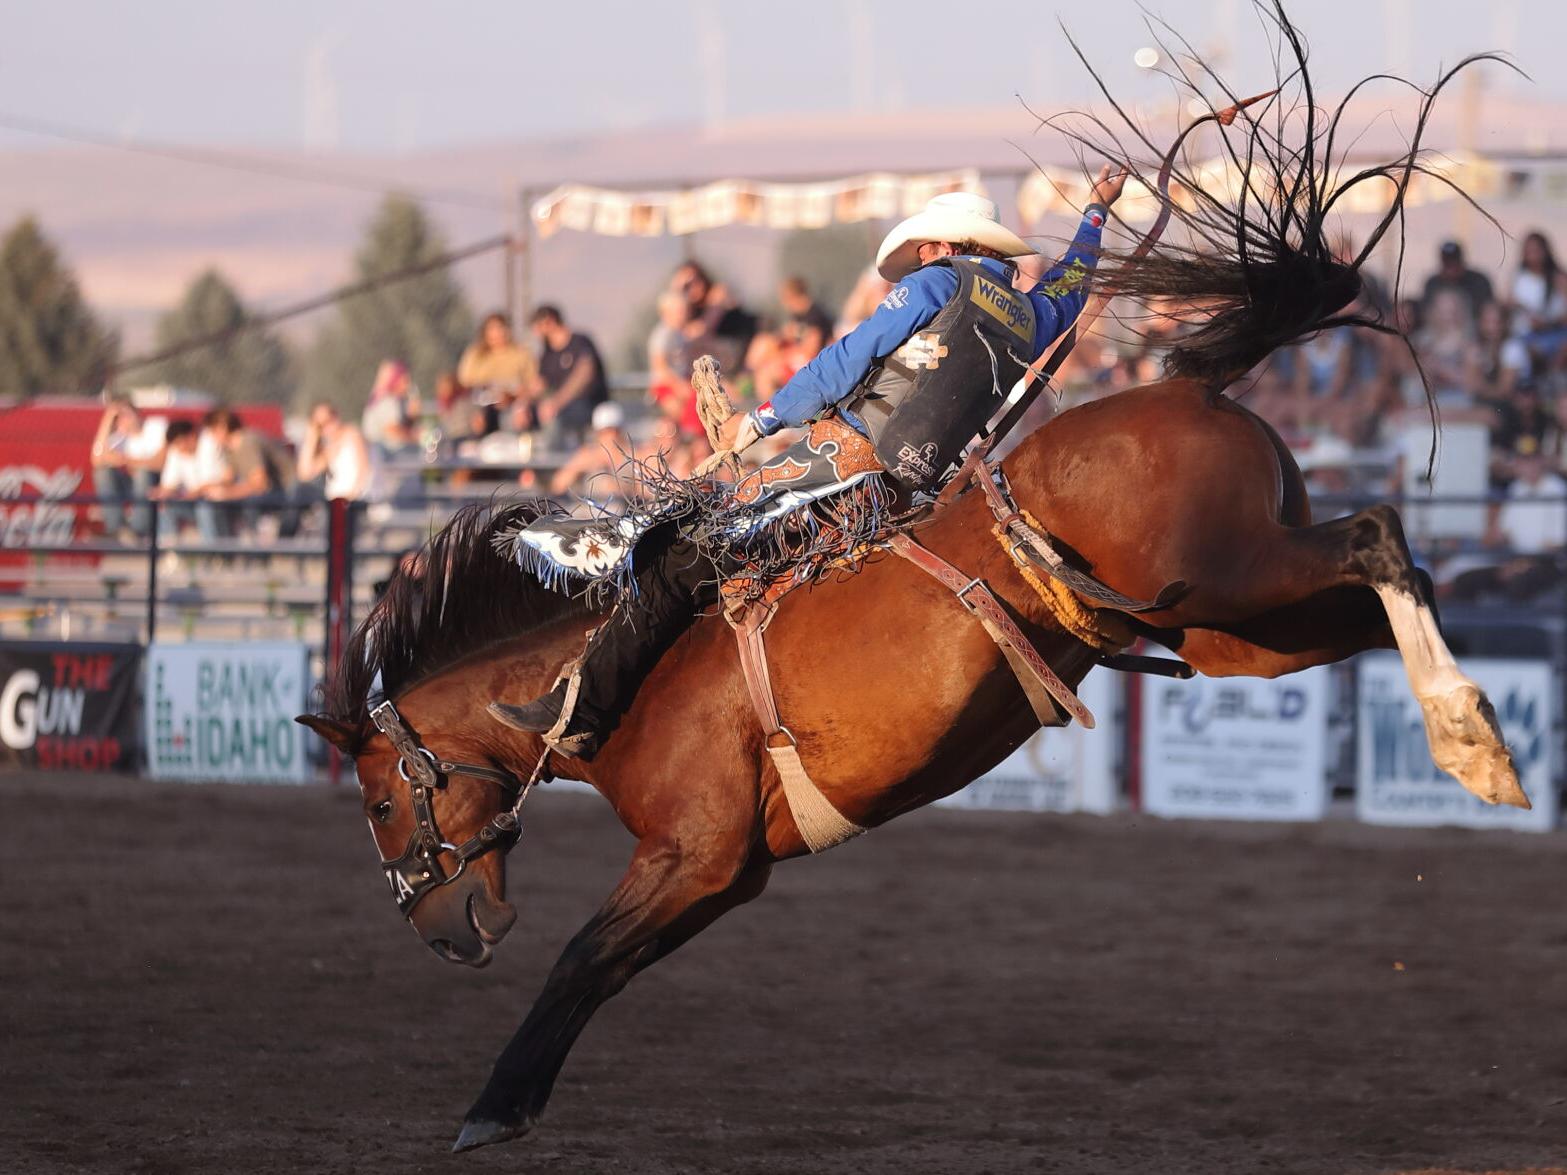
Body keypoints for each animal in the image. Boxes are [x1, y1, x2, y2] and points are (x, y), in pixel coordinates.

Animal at [298, 4, 1523, 1152]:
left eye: (377, 800)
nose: (444, 931)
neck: (612, 681)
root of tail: (1189, 386)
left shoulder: (693, 851)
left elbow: (581, 958)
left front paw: (490, 1106)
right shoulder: (730, 871)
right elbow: (606, 964)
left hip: (1232, 573)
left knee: (1378, 535)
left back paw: (1468, 728)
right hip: (1238, 629)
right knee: (1373, 595)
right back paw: (1478, 743)